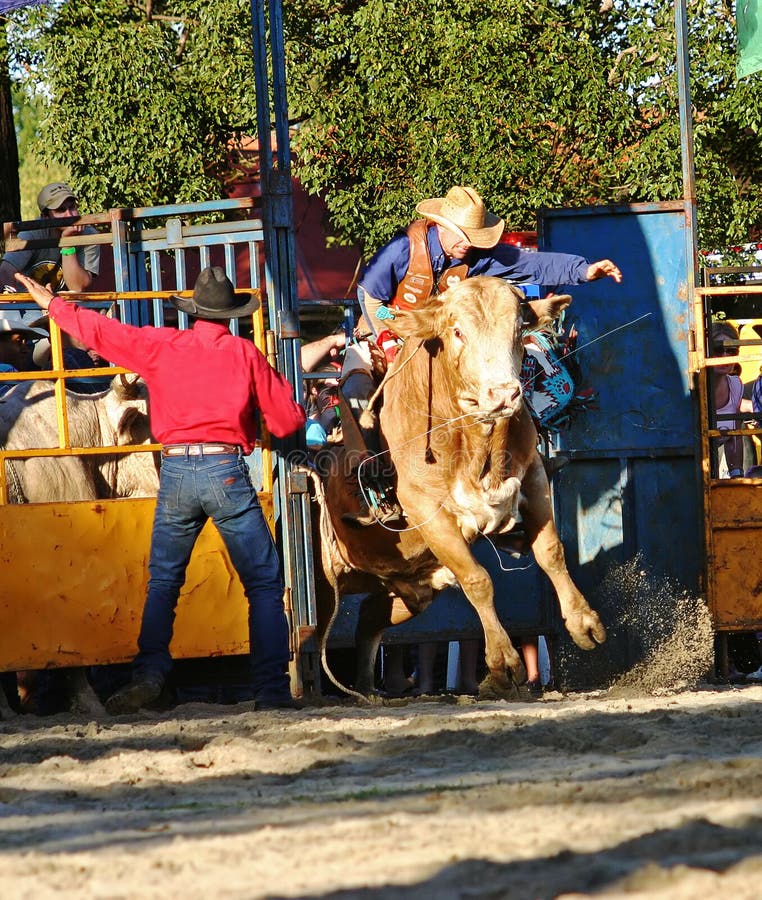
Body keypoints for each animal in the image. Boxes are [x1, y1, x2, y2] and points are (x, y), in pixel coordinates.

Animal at [310, 275, 606, 698]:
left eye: (518, 328)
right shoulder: (430, 516)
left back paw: (367, 689)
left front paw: (584, 623)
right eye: (458, 331)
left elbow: (551, 551)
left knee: (370, 616)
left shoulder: (533, 479)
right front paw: (503, 667)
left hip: (409, 587)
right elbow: (477, 580)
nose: (504, 394)